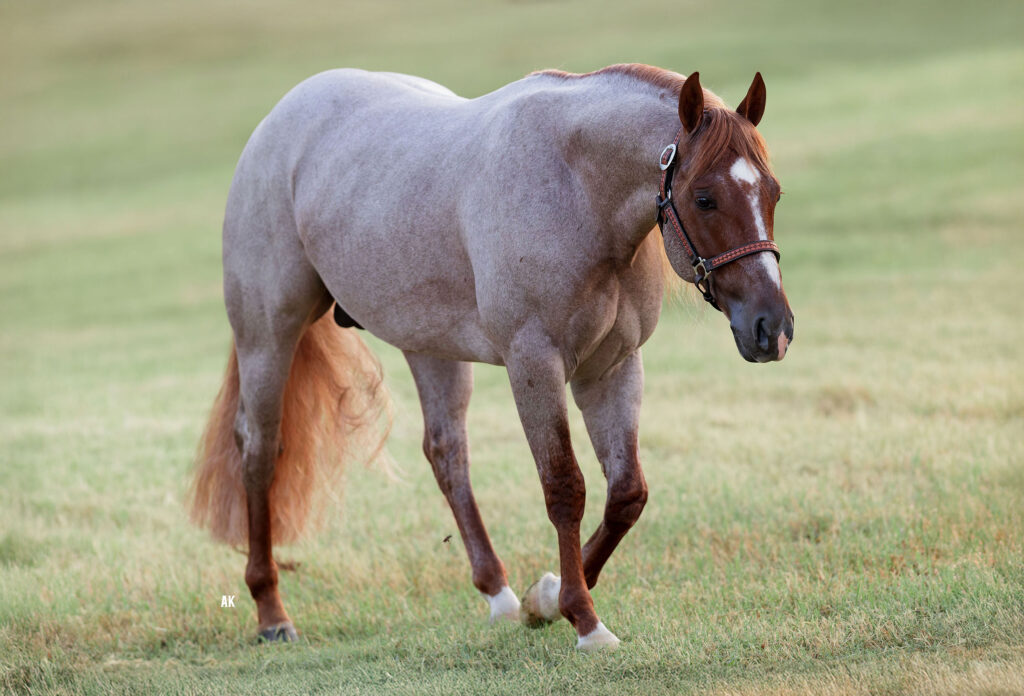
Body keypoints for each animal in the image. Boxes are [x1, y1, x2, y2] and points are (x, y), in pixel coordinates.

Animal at [188, 64, 794, 651]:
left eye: (774, 193)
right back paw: (271, 611)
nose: (772, 328)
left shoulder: (613, 366)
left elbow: (626, 494)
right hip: (268, 336)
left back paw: (498, 595)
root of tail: (281, 117)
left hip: (428, 346)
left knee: (446, 453)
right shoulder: (534, 364)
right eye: (705, 198)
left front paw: (545, 598)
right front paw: (582, 619)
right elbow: (564, 488)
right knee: (259, 452)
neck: (575, 188)